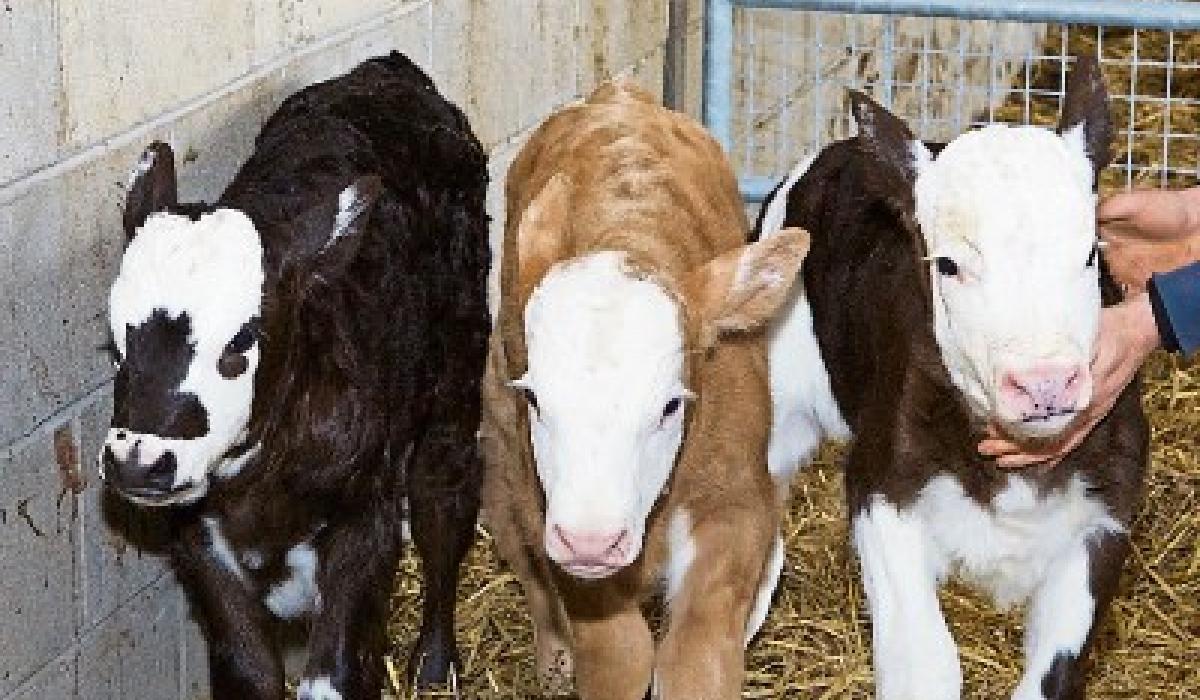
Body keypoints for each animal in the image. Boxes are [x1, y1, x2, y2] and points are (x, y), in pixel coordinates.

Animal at [99, 53, 490, 699]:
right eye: (115, 343)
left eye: (241, 341)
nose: (138, 461)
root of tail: (388, 70)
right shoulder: (199, 538)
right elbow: (250, 667)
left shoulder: (364, 518)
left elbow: (333, 676)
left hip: (456, 373)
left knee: (444, 493)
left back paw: (435, 667)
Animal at [478, 80, 810, 700]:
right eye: (535, 398)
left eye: (671, 405)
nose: (591, 541)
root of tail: (619, 95)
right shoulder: (549, 508)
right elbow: (620, 653)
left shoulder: (736, 502)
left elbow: (696, 658)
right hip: (503, 467)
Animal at [757, 56, 1149, 700]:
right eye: (947, 264)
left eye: (1091, 253)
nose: (1045, 383)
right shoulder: (880, 483)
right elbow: (924, 664)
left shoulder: (1106, 513)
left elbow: (1053, 676)